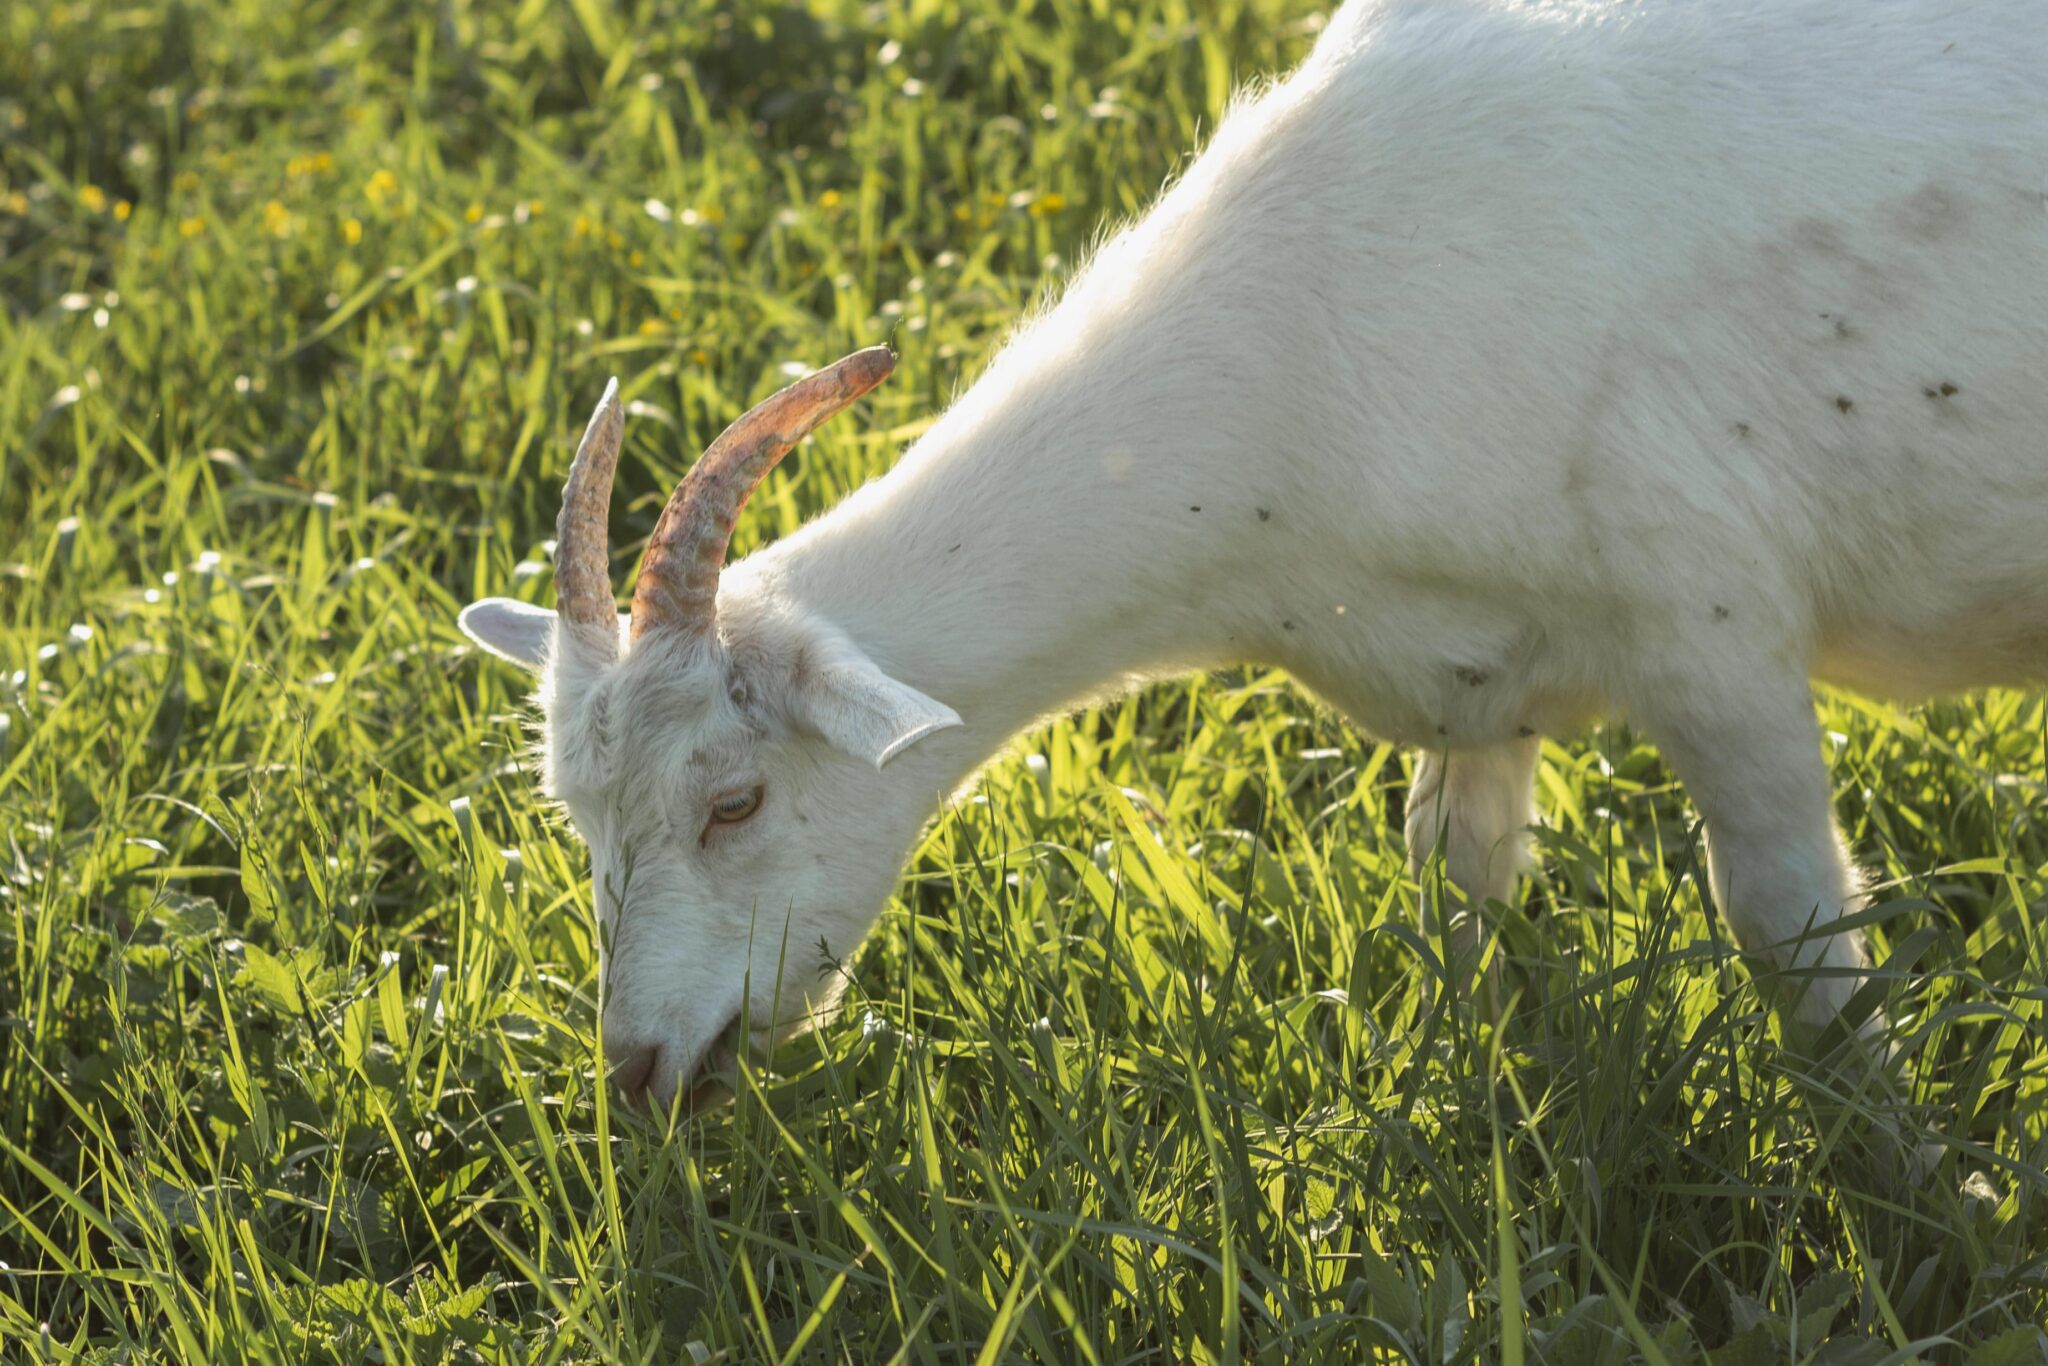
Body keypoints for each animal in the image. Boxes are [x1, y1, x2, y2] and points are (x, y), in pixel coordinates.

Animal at [461, 0, 2048, 1109]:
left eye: (733, 801)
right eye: (576, 817)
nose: (638, 1070)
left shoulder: (1709, 622)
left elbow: (1791, 931)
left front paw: (1914, 1188)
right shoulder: (1473, 682)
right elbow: (1455, 886)